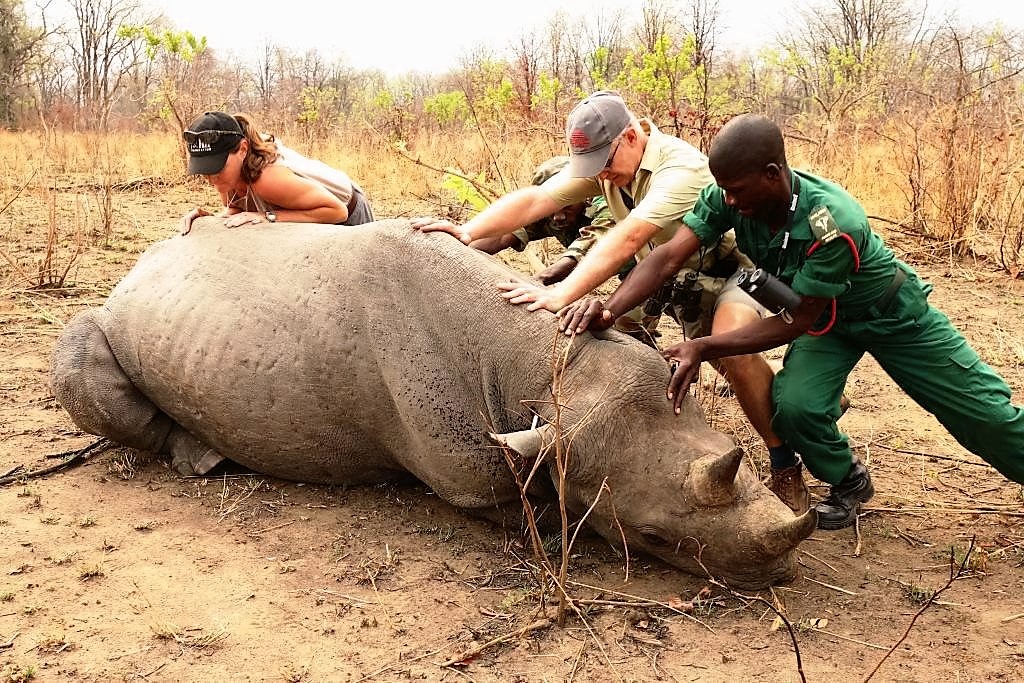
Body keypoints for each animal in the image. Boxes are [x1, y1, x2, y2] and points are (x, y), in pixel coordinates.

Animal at [51, 218, 815, 589]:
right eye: (653, 537)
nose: (776, 577)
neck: (558, 375)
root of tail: (138, 267)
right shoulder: (473, 479)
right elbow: (540, 508)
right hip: (115, 316)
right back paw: (204, 460)